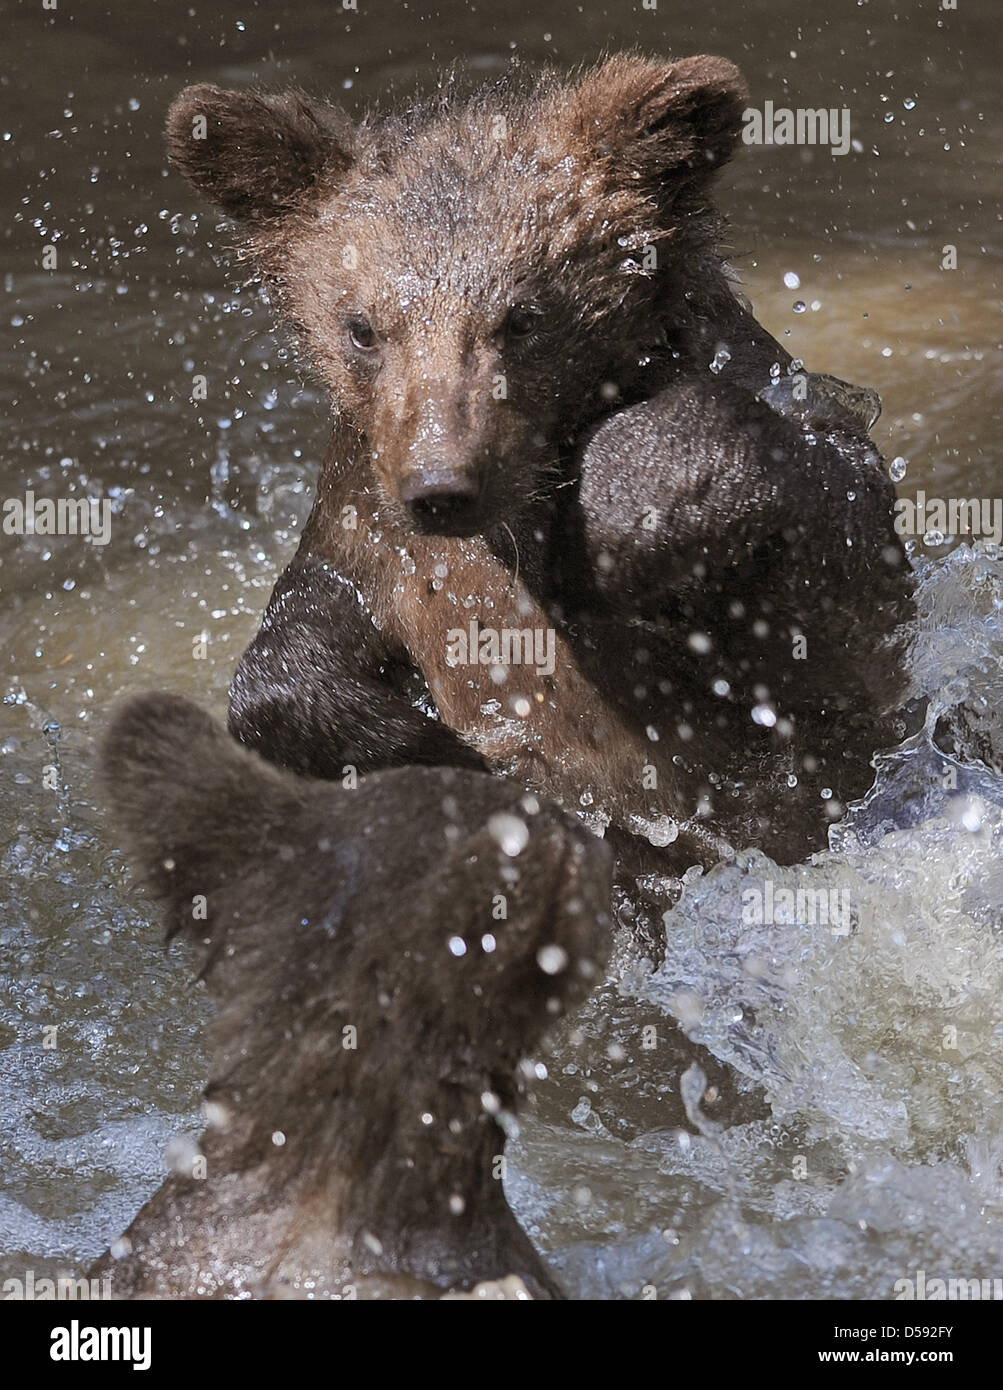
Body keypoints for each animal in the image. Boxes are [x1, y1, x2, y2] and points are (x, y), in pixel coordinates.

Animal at [164, 55, 913, 929]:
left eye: (520, 317)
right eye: (363, 326)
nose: (442, 485)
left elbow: (821, 568)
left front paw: (614, 529)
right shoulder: (368, 528)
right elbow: (292, 661)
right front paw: (430, 748)